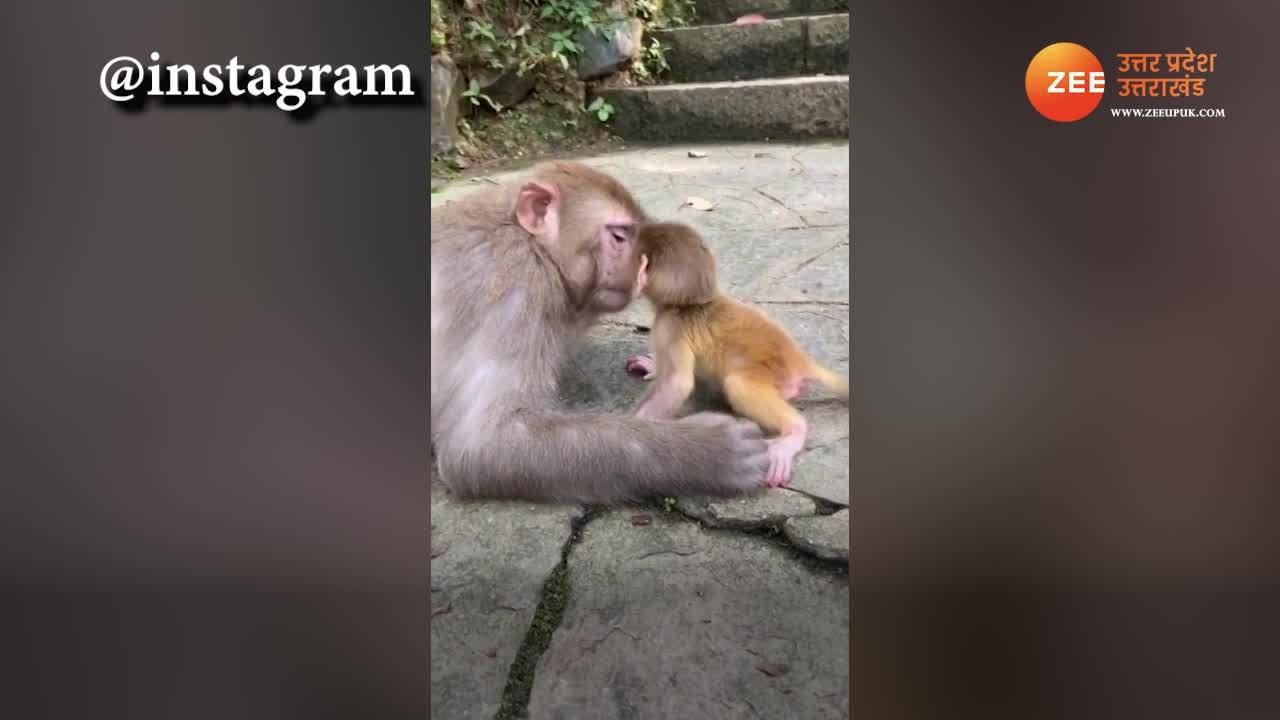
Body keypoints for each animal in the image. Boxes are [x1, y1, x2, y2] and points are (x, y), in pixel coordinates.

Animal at [430, 161, 770, 504]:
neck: (531, 243)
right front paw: (710, 448)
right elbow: (483, 441)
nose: (638, 266)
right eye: (619, 237)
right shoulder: (513, 284)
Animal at [625, 222, 848, 488]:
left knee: (739, 386)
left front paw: (635, 430)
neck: (689, 304)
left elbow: (676, 384)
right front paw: (652, 366)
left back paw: (794, 431)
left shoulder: (669, 326)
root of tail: (800, 361)